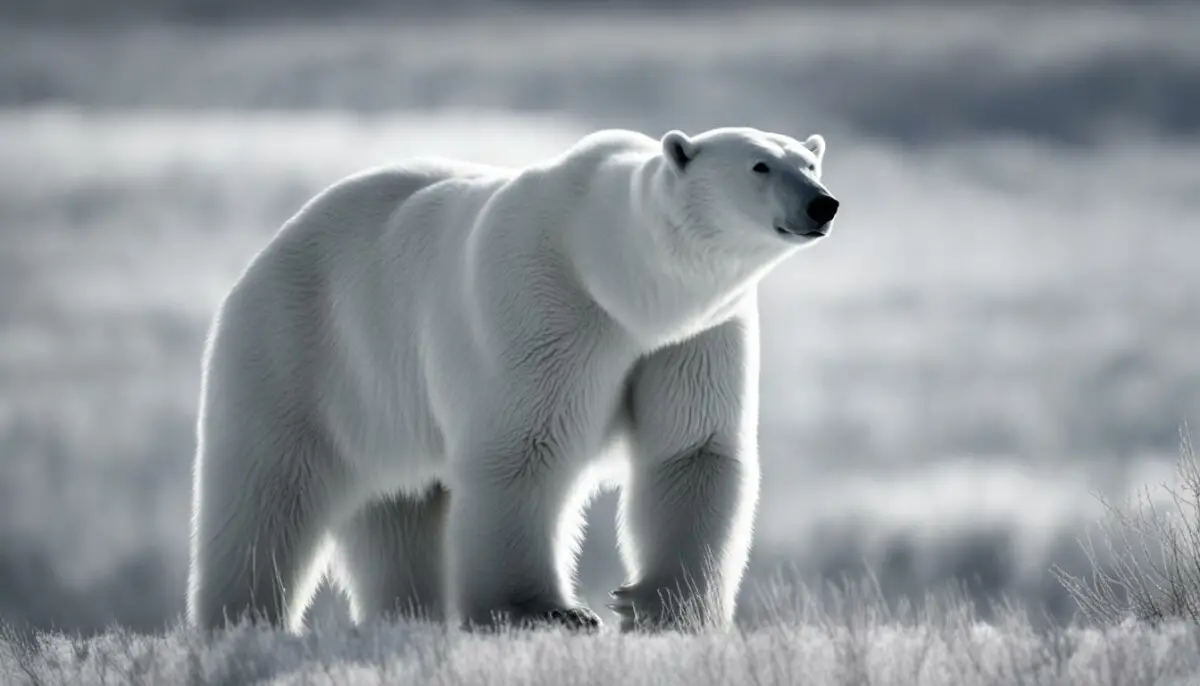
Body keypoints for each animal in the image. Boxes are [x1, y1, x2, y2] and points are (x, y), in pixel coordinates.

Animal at [186, 126, 839, 633]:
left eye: (809, 162)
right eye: (760, 164)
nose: (823, 204)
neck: (615, 277)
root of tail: (264, 255)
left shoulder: (691, 337)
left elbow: (692, 448)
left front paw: (664, 608)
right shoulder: (543, 305)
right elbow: (526, 448)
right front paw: (548, 612)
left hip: (381, 400)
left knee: (396, 510)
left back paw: (407, 614)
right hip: (301, 352)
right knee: (264, 496)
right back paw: (242, 621)